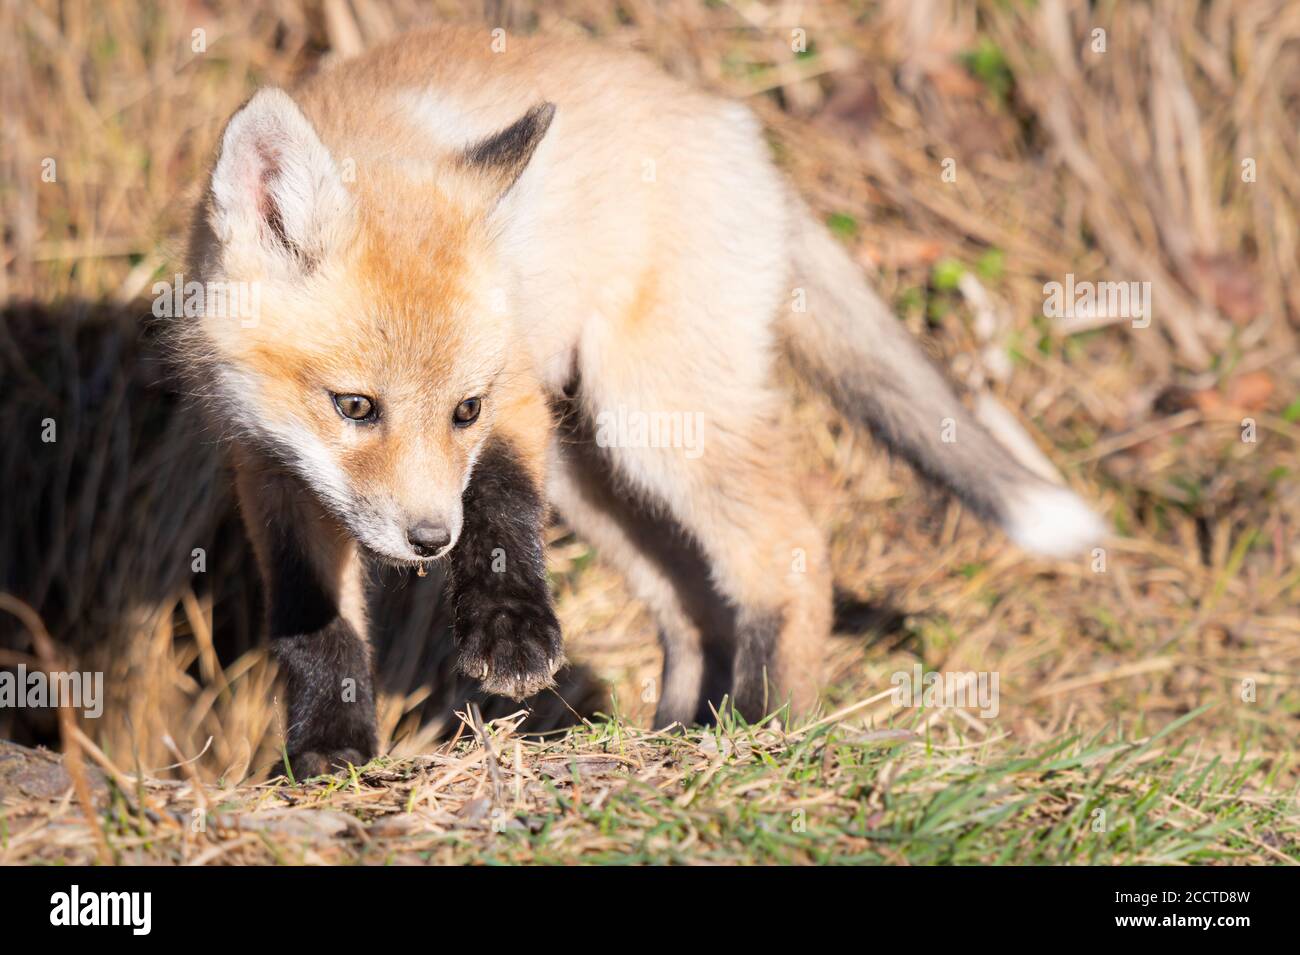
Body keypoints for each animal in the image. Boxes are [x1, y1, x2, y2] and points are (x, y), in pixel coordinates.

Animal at [178, 24, 1105, 778]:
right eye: (356, 407)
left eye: (464, 411)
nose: (430, 540)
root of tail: (734, 125)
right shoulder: (267, 464)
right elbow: (312, 621)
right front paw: (327, 748)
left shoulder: (515, 394)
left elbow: (502, 517)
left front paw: (508, 632)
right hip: (594, 476)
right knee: (692, 608)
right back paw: (676, 732)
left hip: (650, 422)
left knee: (789, 554)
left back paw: (763, 727)